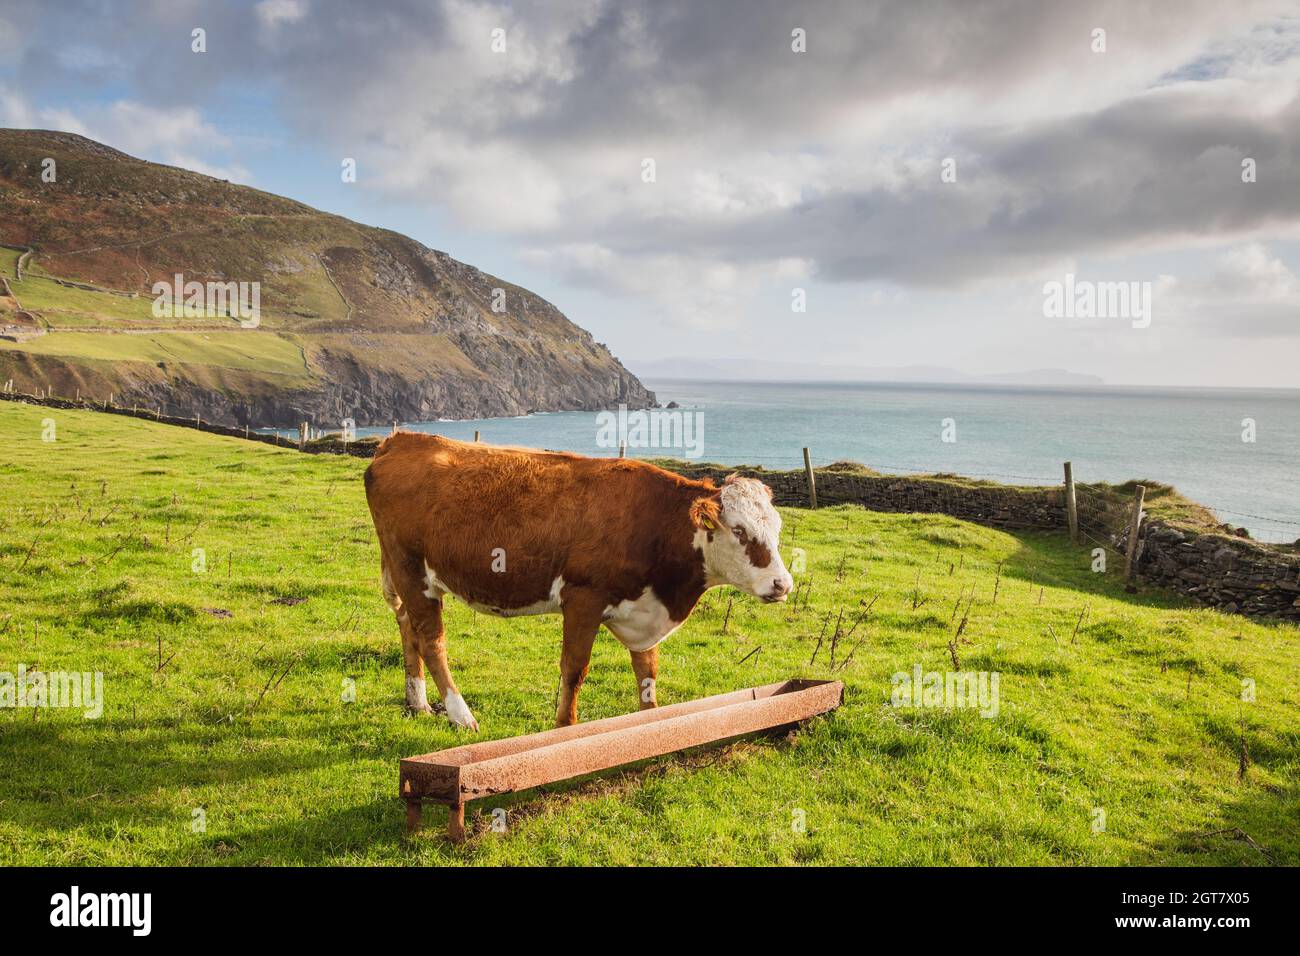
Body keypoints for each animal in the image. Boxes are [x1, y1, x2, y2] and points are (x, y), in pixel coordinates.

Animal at [363, 432, 794, 730]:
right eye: (739, 530)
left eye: (776, 527)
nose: (782, 584)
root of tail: (403, 439)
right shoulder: (583, 598)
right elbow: (574, 670)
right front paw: (564, 728)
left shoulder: (644, 611)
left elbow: (647, 671)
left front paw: (650, 721)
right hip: (412, 569)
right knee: (432, 640)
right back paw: (460, 714)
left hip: (405, 573)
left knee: (408, 626)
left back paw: (417, 702)